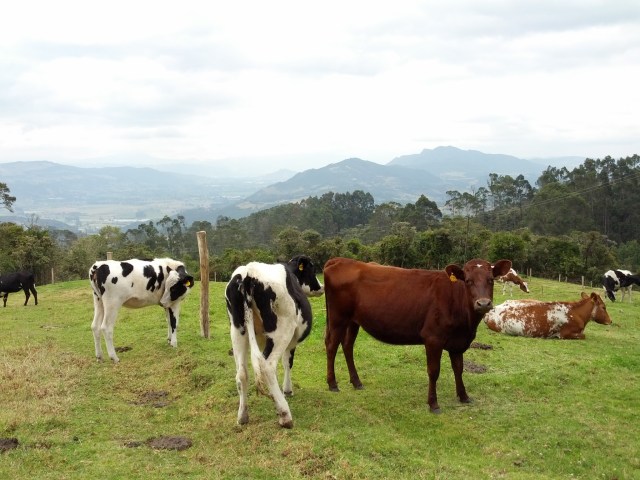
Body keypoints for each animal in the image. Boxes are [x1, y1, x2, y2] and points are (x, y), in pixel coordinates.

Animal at [226, 255, 324, 428]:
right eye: (312, 269)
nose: (322, 287)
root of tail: (248, 272)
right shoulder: (291, 342)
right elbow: (287, 362)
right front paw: (287, 390)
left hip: (237, 331)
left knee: (242, 373)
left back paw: (243, 416)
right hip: (281, 332)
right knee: (268, 366)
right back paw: (285, 414)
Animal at [323, 257, 512, 414]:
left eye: (491, 280)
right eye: (468, 281)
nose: (483, 303)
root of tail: (340, 260)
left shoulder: (458, 342)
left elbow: (459, 369)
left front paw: (464, 396)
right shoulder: (433, 338)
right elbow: (433, 371)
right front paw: (433, 404)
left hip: (353, 321)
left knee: (347, 346)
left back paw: (356, 382)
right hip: (337, 318)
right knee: (331, 345)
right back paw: (332, 384)